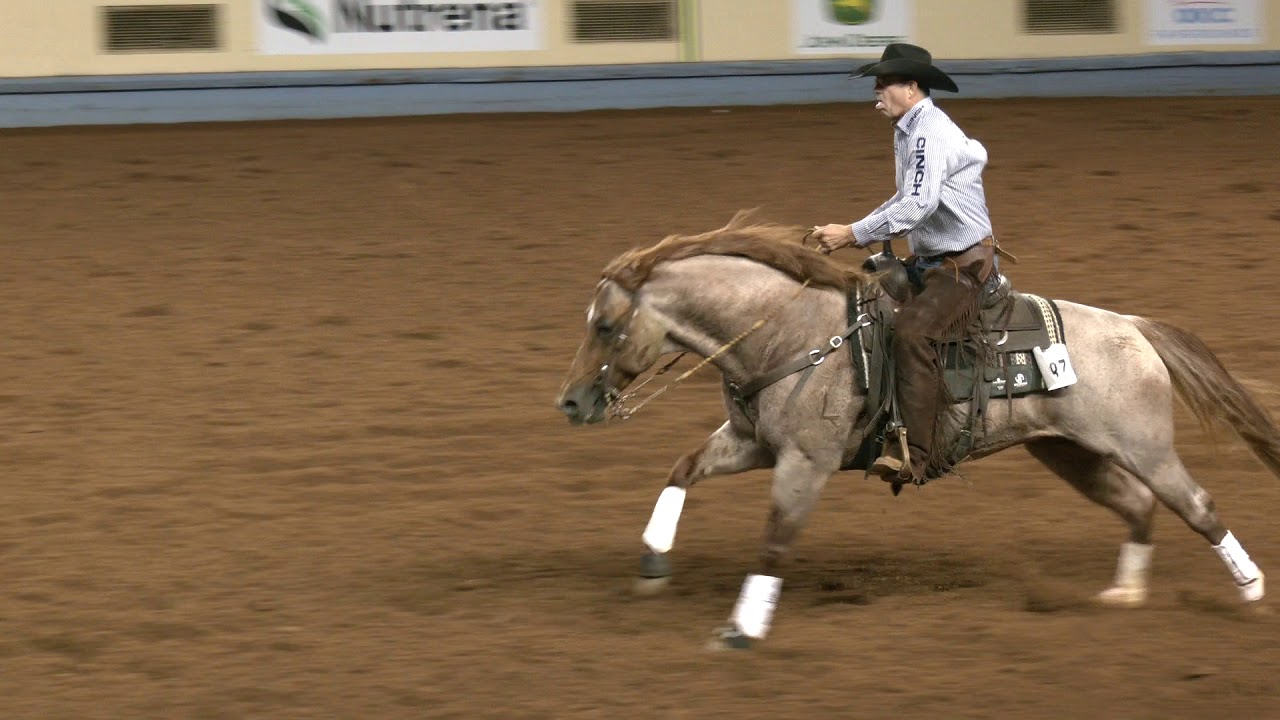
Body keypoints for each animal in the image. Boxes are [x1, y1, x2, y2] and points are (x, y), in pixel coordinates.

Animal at [554, 210, 1280, 650]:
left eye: (606, 326)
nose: (570, 402)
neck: (794, 335)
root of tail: (1133, 326)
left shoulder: (806, 461)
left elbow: (776, 539)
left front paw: (742, 628)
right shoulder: (753, 443)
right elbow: (681, 468)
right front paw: (653, 560)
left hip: (1144, 446)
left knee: (1197, 505)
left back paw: (1251, 593)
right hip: (1069, 451)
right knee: (1137, 506)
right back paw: (1125, 593)